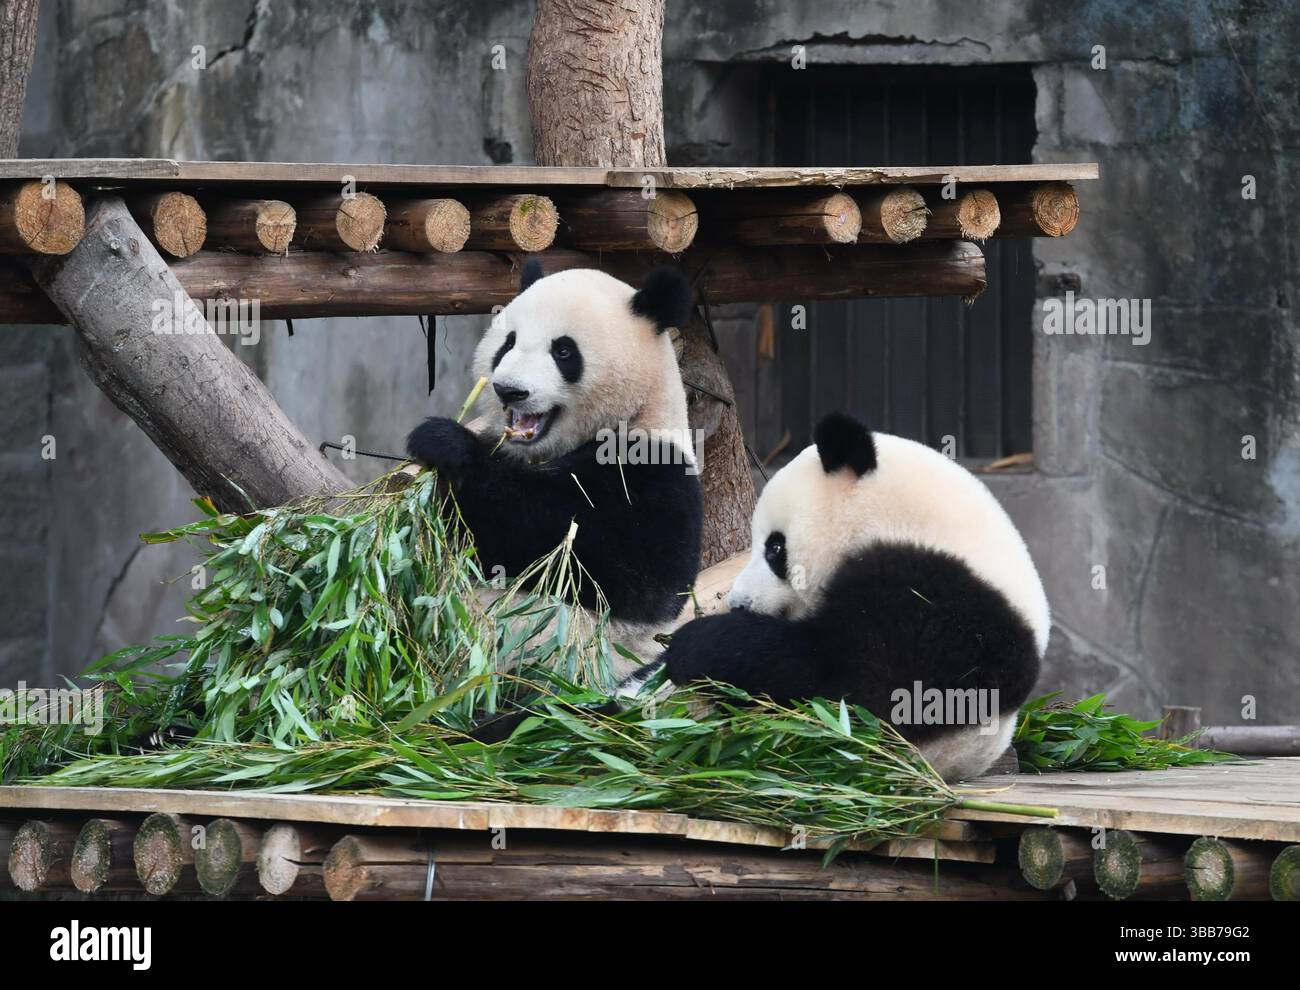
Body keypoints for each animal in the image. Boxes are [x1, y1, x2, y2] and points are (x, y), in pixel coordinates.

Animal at [406, 260, 703, 676]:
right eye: (508, 343)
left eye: (563, 351)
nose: (509, 390)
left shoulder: (653, 478)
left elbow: (548, 535)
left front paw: (445, 444)